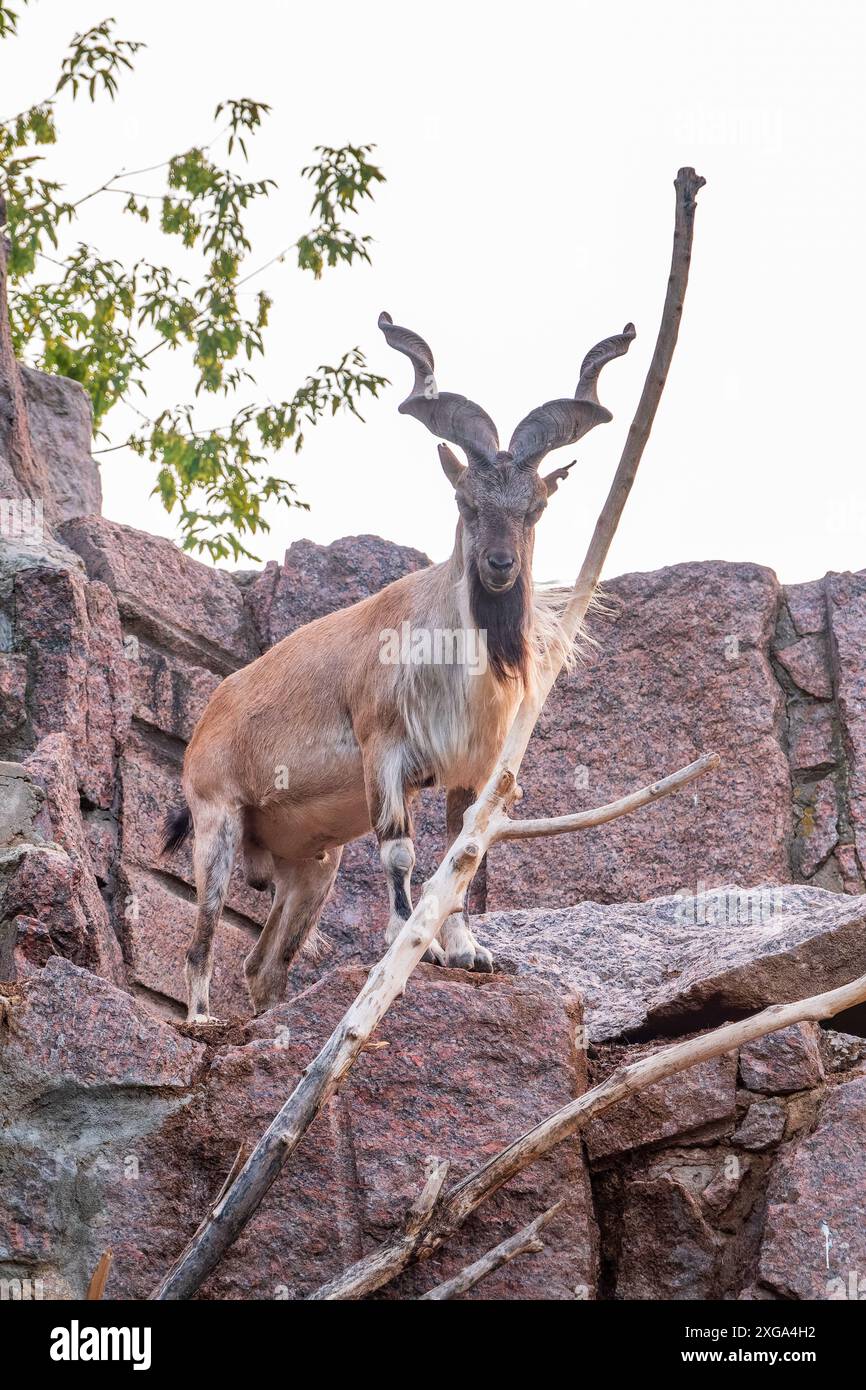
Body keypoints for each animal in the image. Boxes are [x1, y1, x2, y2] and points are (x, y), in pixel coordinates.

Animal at [165, 312, 633, 1021]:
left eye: (535, 507)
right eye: (466, 503)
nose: (499, 566)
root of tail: (208, 718)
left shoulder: (470, 771)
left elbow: (461, 857)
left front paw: (469, 951)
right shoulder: (383, 755)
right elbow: (401, 853)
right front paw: (417, 946)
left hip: (313, 867)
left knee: (263, 963)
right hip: (216, 823)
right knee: (201, 940)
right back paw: (200, 1019)